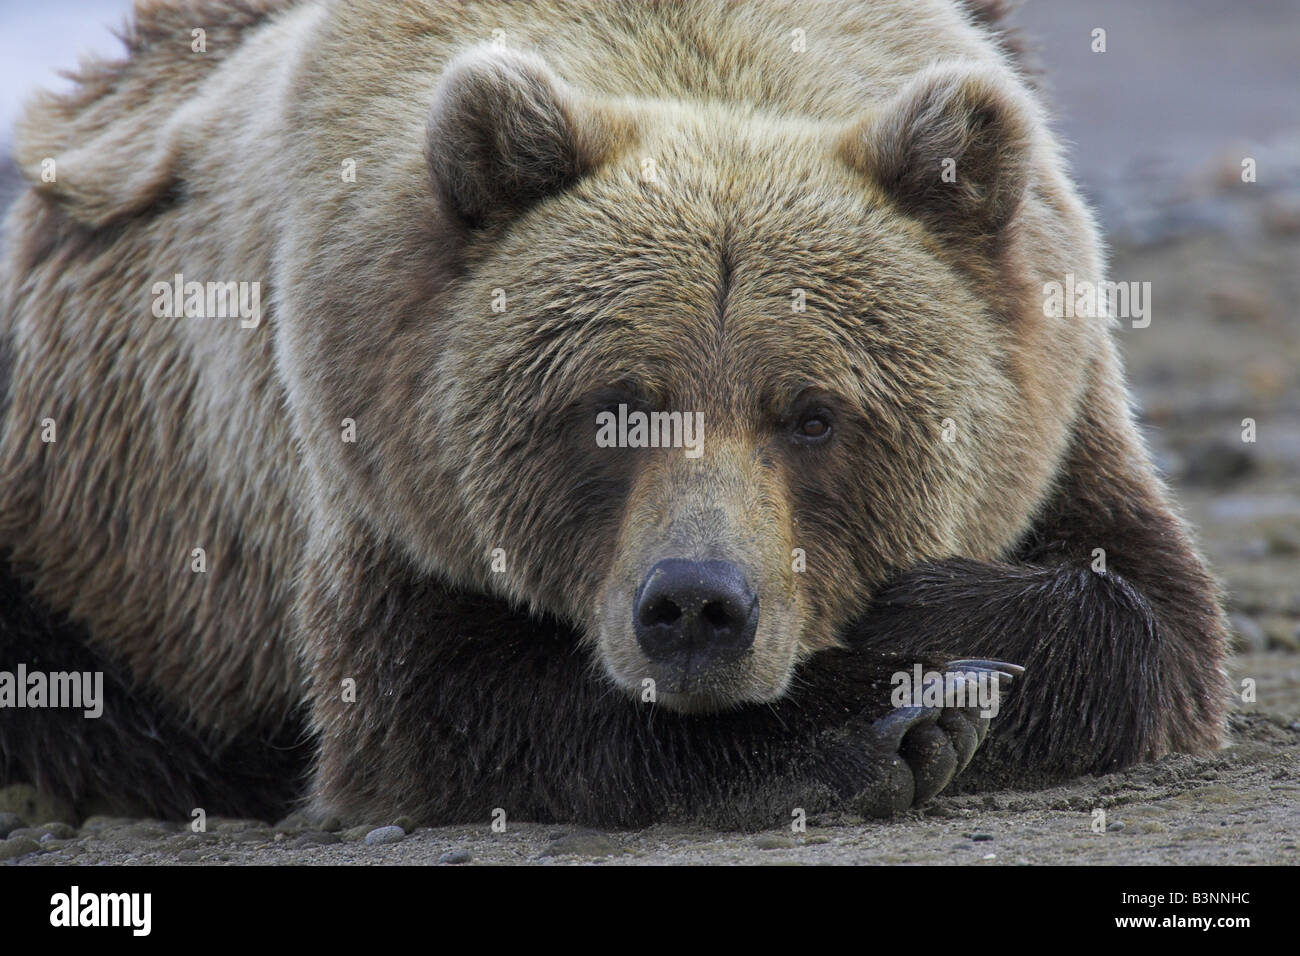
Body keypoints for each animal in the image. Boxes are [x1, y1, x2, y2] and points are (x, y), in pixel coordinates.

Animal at [0, 0, 1226, 828]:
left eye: (814, 413)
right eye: (614, 406)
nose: (695, 606)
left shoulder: (1059, 400)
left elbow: (1149, 618)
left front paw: (939, 636)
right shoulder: (367, 443)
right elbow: (434, 705)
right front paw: (884, 722)